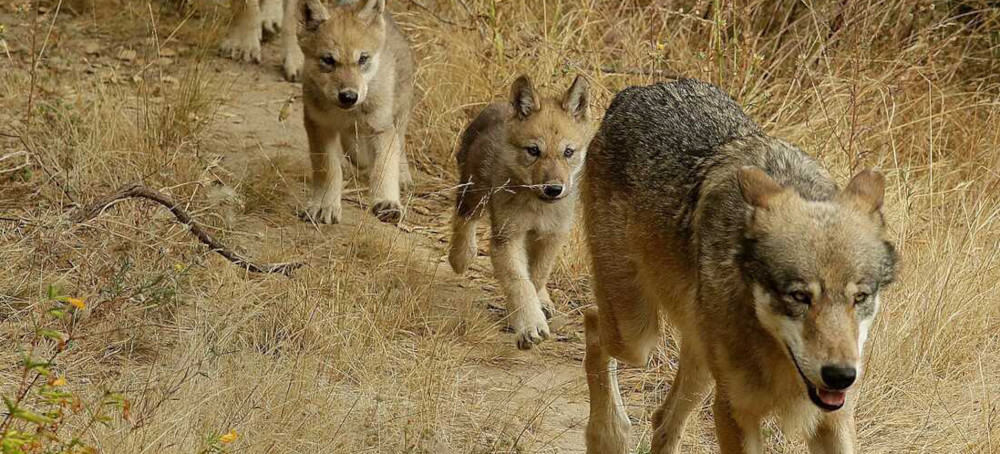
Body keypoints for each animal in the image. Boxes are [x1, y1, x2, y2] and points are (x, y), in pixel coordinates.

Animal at [295, 0, 414, 225]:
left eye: (363, 59)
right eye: (328, 60)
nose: (349, 96)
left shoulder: (381, 128)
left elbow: (385, 167)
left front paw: (387, 202)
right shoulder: (319, 126)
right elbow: (328, 168)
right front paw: (325, 205)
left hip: (399, 113)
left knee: (400, 144)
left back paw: (403, 176)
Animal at [448, 75, 591, 349]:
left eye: (568, 152)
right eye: (533, 151)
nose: (553, 189)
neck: (538, 208)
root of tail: (497, 105)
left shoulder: (551, 237)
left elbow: (536, 277)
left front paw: (527, 314)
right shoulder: (507, 237)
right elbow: (520, 282)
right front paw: (530, 325)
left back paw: (544, 302)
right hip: (474, 193)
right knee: (463, 220)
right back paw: (460, 257)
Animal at [581, 79, 899, 453]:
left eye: (859, 298)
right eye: (799, 296)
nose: (841, 376)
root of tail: (637, 90)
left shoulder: (833, 418)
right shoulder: (733, 410)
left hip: (699, 366)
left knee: (663, 419)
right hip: (637, 336)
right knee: (592, 324)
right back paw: (608, 434)